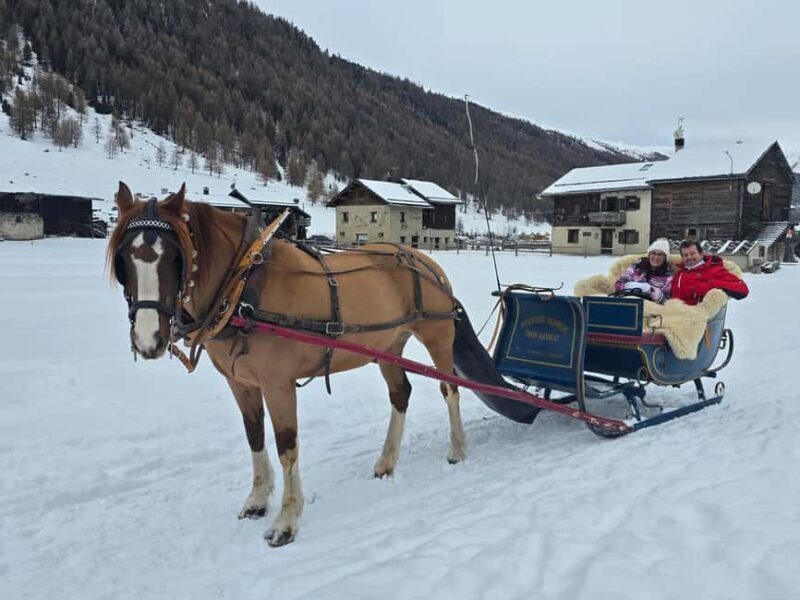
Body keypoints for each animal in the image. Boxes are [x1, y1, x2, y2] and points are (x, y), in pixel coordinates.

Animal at [107, 182, 467, 546]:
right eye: (123, 259)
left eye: (176, 257)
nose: (148, 339)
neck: (243, 287)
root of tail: (426, 262)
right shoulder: (240, 383)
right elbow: (254, 436)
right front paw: (256, 500)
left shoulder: (277, 383)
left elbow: (286, 446)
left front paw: (287, 518)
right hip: (388, 346)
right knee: (400, 394)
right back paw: (386, 461)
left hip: (437, 338)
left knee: (449, 389)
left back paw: (457, 448)